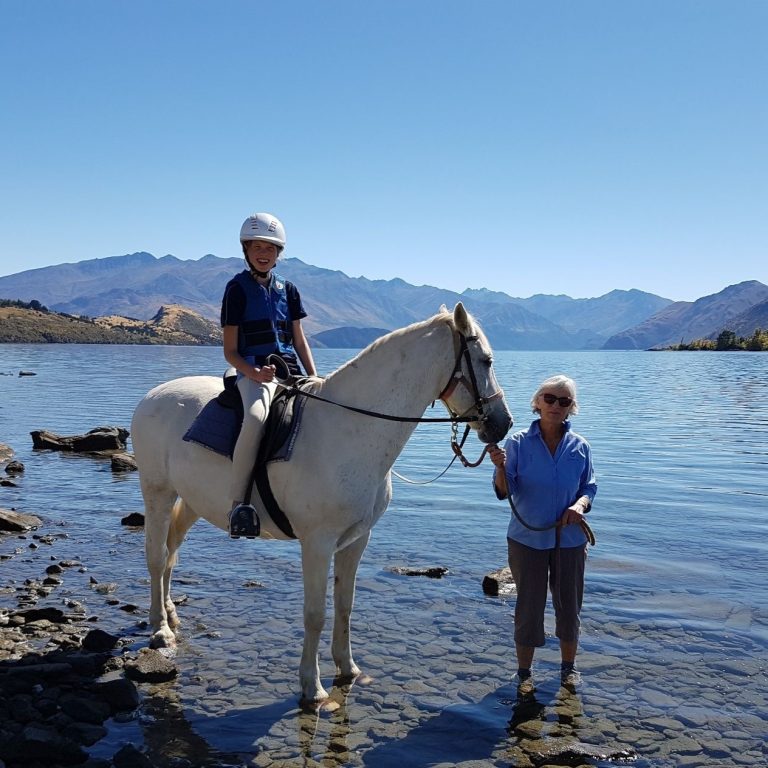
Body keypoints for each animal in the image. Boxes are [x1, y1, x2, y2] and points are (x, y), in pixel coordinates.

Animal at [131, 302, 513, 702]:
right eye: (486, 360)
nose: (503, 423)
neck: (347, 429)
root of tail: (153, 395)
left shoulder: (357, 539)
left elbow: (345, 604)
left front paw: (348, 669)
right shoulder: (317, 543)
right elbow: (315, 613)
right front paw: (312, 687)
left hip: (190, 500)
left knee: (172, 551)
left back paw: (170, 613)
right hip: (157, 493)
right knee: (157, 556)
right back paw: (161, 629)